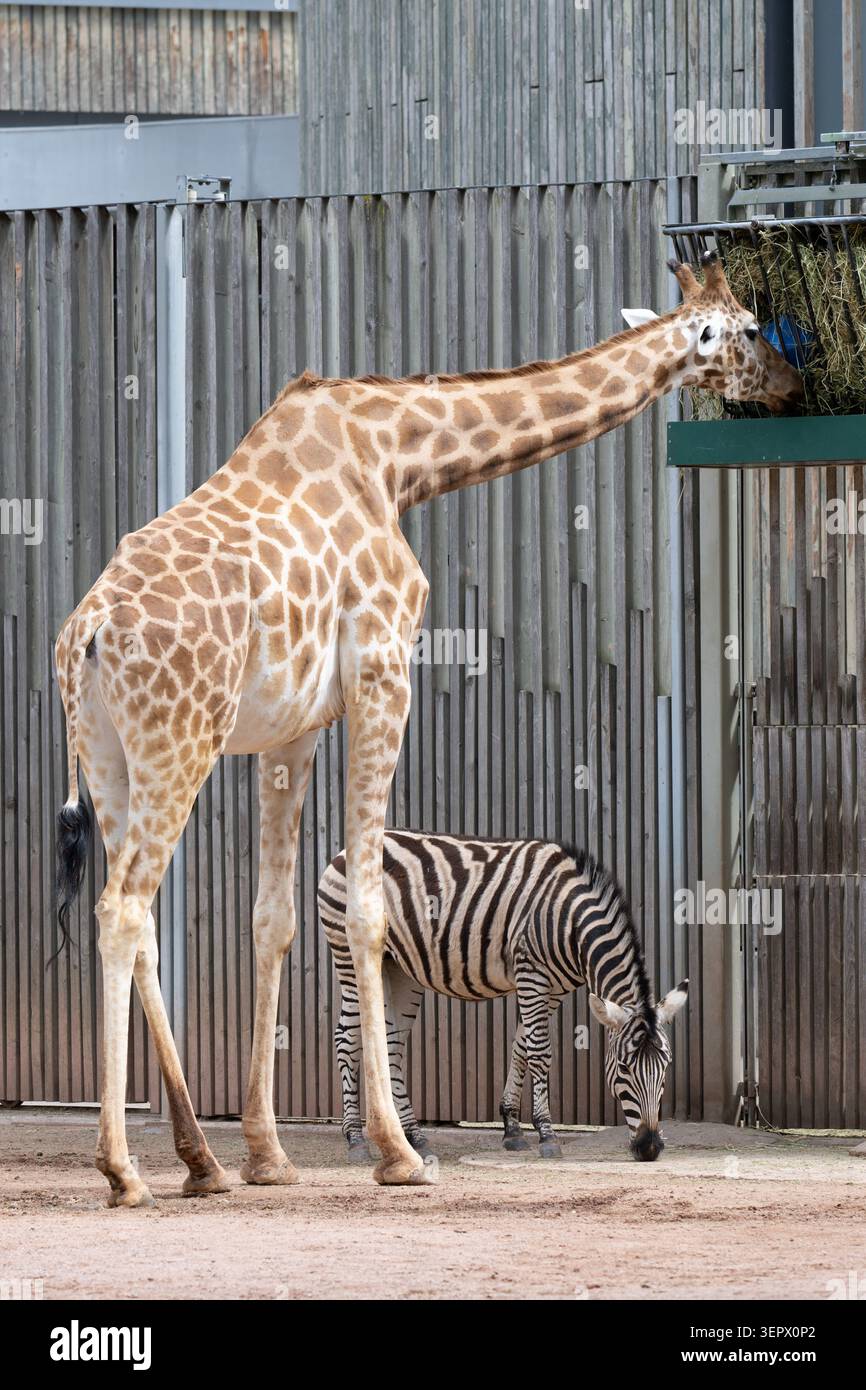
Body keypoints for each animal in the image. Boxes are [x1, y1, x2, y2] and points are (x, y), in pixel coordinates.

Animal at [317, 830, 688, 1163]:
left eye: (666, 1066)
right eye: (624, 1067)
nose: (650, 1147)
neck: (569, 921)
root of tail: (341, 854)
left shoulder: (551, 987)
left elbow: (521, 1047)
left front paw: (512, 1128)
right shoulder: (532, 974)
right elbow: (540, 1051)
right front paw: (547, 1135)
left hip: (399, 969)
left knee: (393, 1043)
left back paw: (414, 1136)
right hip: (352, 955)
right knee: (346, 1040)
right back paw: (355, 1141)